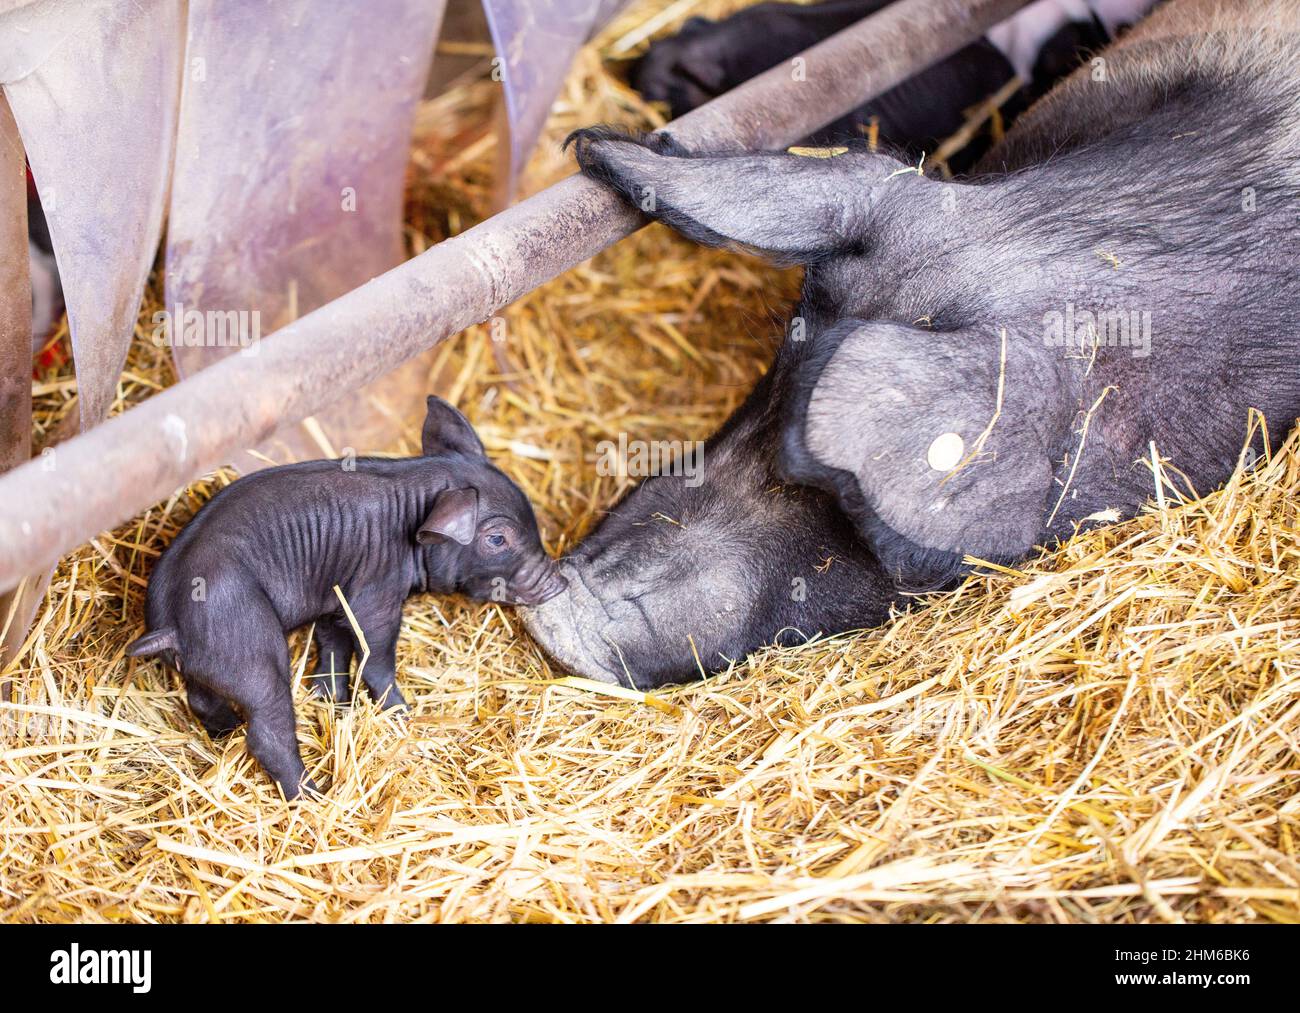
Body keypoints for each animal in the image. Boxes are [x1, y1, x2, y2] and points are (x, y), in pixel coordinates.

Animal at [127, 396, 565, 798]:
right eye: (497, 538)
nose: (557, 581)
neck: (410, 522)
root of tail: (172, 625)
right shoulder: (375, 596)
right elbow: (375, 656)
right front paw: (401, 714)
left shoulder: (335, 598)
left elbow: (333, 647)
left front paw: (333, 702)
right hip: (251, 651)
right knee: (267, 731)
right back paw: (313, 795)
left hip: (200, 664)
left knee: (201, 701)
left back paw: (225, 734)